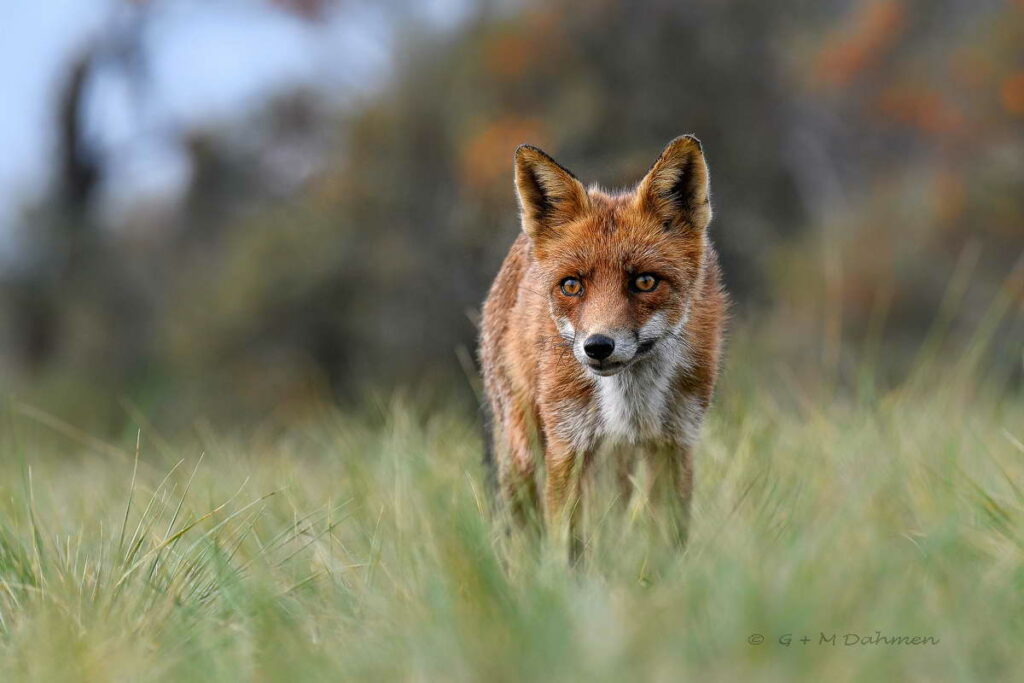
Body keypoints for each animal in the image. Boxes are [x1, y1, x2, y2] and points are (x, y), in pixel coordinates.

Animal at [479, 135, 727, 550]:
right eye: (571, 286)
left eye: (645, 281)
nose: (597, 346)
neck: (631, 401)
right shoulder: (569, 444)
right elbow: (566, 546)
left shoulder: (675, 441)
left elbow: (666, 545)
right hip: (523, 449)